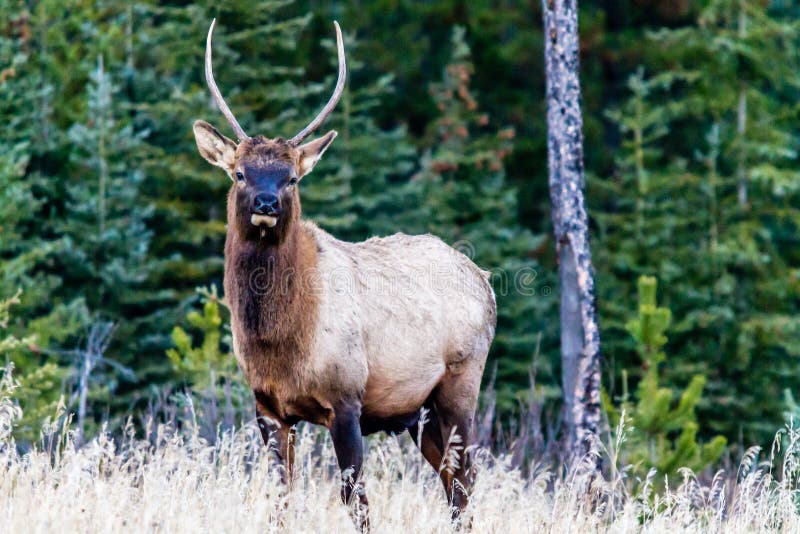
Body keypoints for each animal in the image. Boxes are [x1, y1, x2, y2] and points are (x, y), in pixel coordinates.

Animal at [192, 19, 496, 530]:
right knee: (452, 480)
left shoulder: (347, 397)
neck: (278, 340)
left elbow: (355, 499)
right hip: (418, 412)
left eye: (292, 178)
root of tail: (486, 281)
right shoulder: (268, 407)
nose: (266, 203)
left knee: (465, 481)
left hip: (460, 381)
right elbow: (280, 496)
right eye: (239, 174)